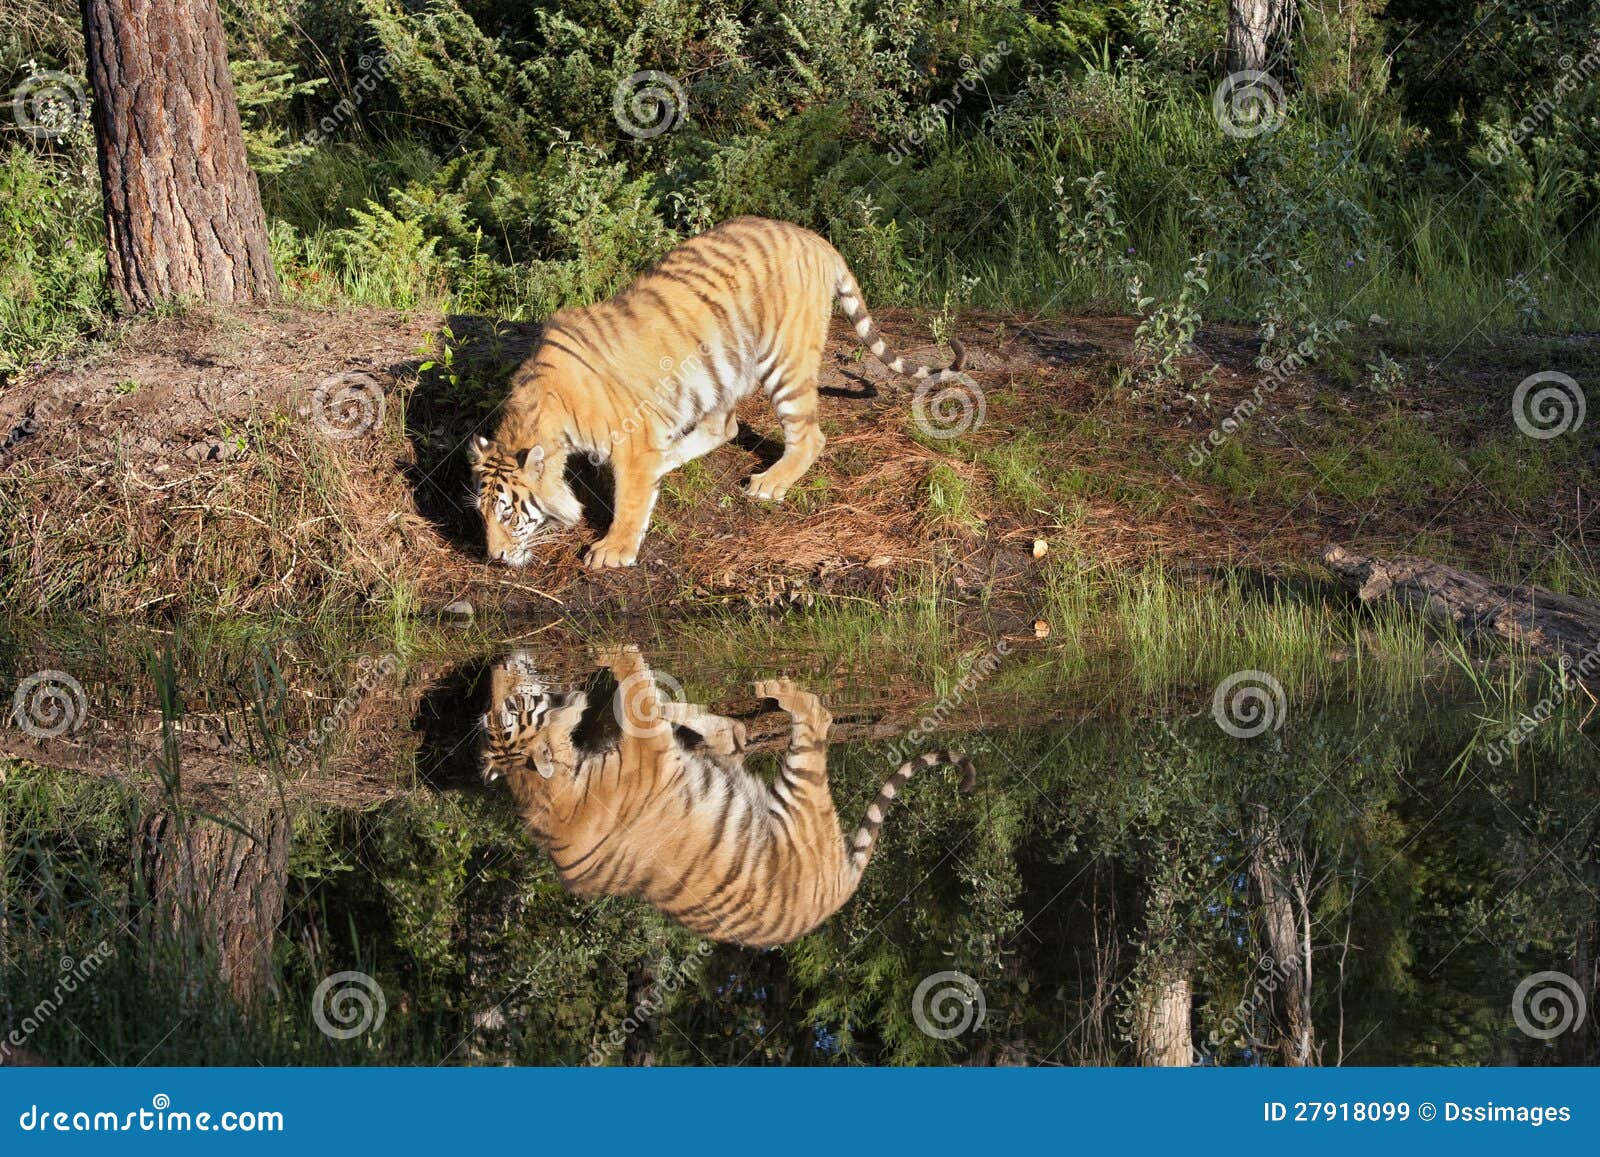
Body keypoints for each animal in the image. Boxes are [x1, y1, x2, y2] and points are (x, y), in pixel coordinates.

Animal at [467, 215, 974, 569]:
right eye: (482, 516)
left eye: (508, 515)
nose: (493, 556)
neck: (544, 415)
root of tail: (816, 239)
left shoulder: (632, 440)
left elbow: (629, 500)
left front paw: (613, 550)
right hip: (718, 368)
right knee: (724, 426)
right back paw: (673, 458)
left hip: (784, 360)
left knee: (809, 436)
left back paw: (769, 482)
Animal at [479, 645, 976, 948]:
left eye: (501, 712)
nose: (497, 665)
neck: (546, 781)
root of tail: (841, 893)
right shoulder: (648, 752)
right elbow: (638, 695)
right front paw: (615, 649)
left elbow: (652, 704)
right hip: (800, 792)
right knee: (819, 716)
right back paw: (775, 690)